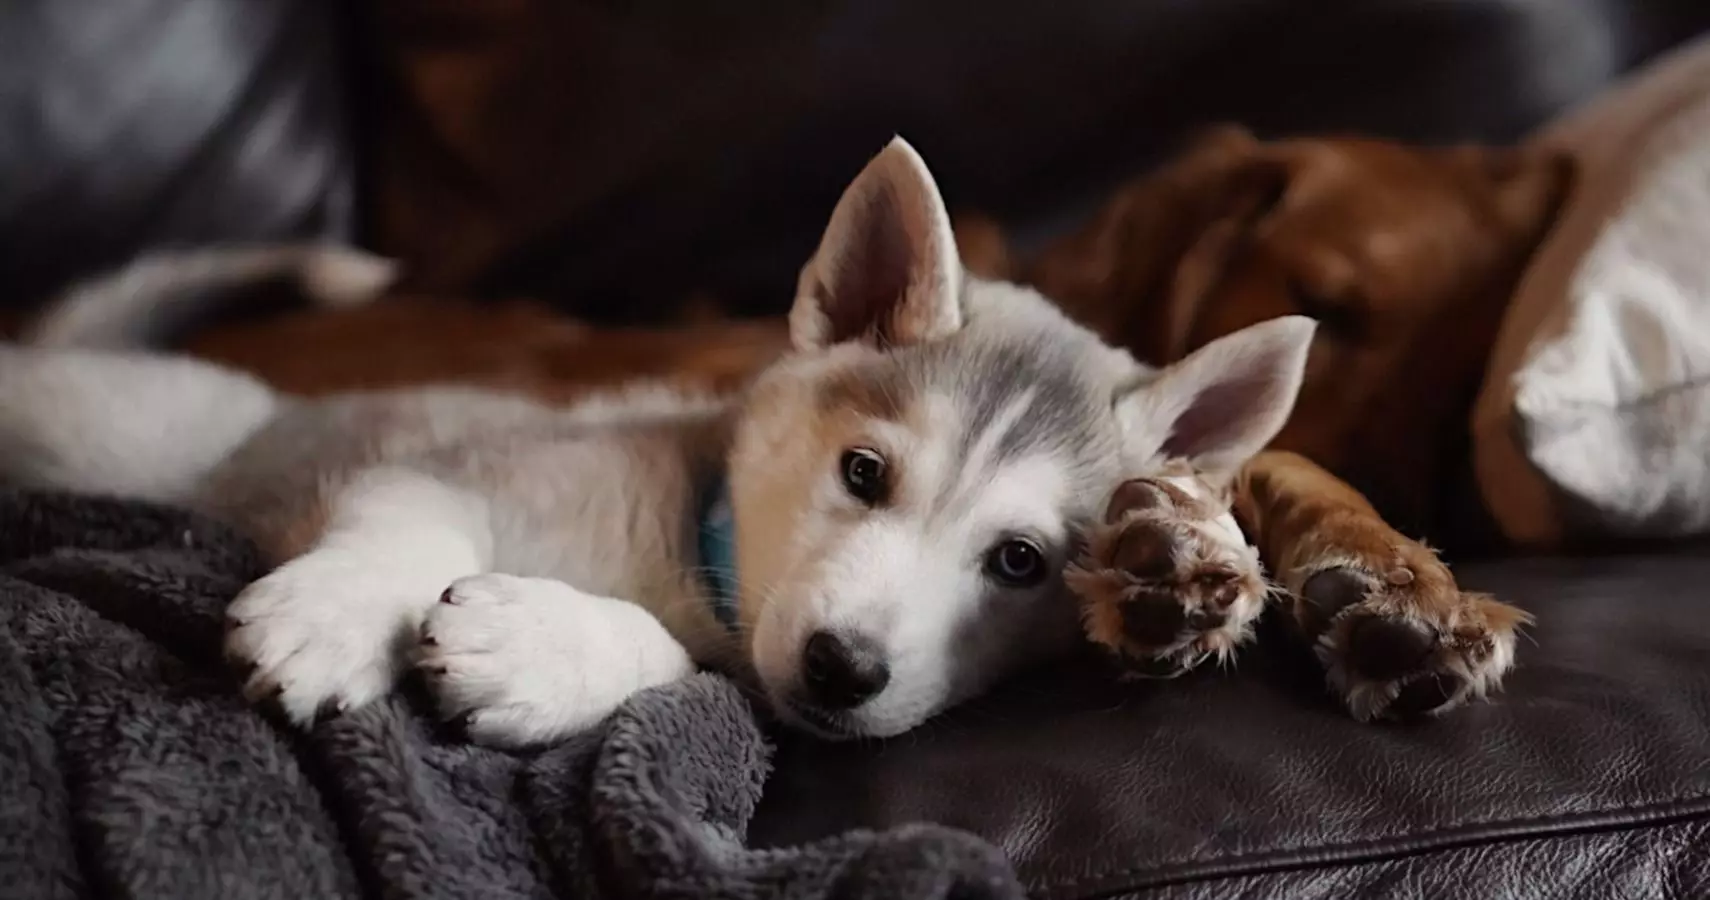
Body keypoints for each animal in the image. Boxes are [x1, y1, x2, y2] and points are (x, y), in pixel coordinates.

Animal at [0, 139, 1306, 749]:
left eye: (1021, 562)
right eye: (865, 473)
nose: (844, 669)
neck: (693, 550)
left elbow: (684, 669)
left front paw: (541, 649)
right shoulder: (456, 459)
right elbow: (405, 521)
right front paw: (334, 614)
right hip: (113, 430)